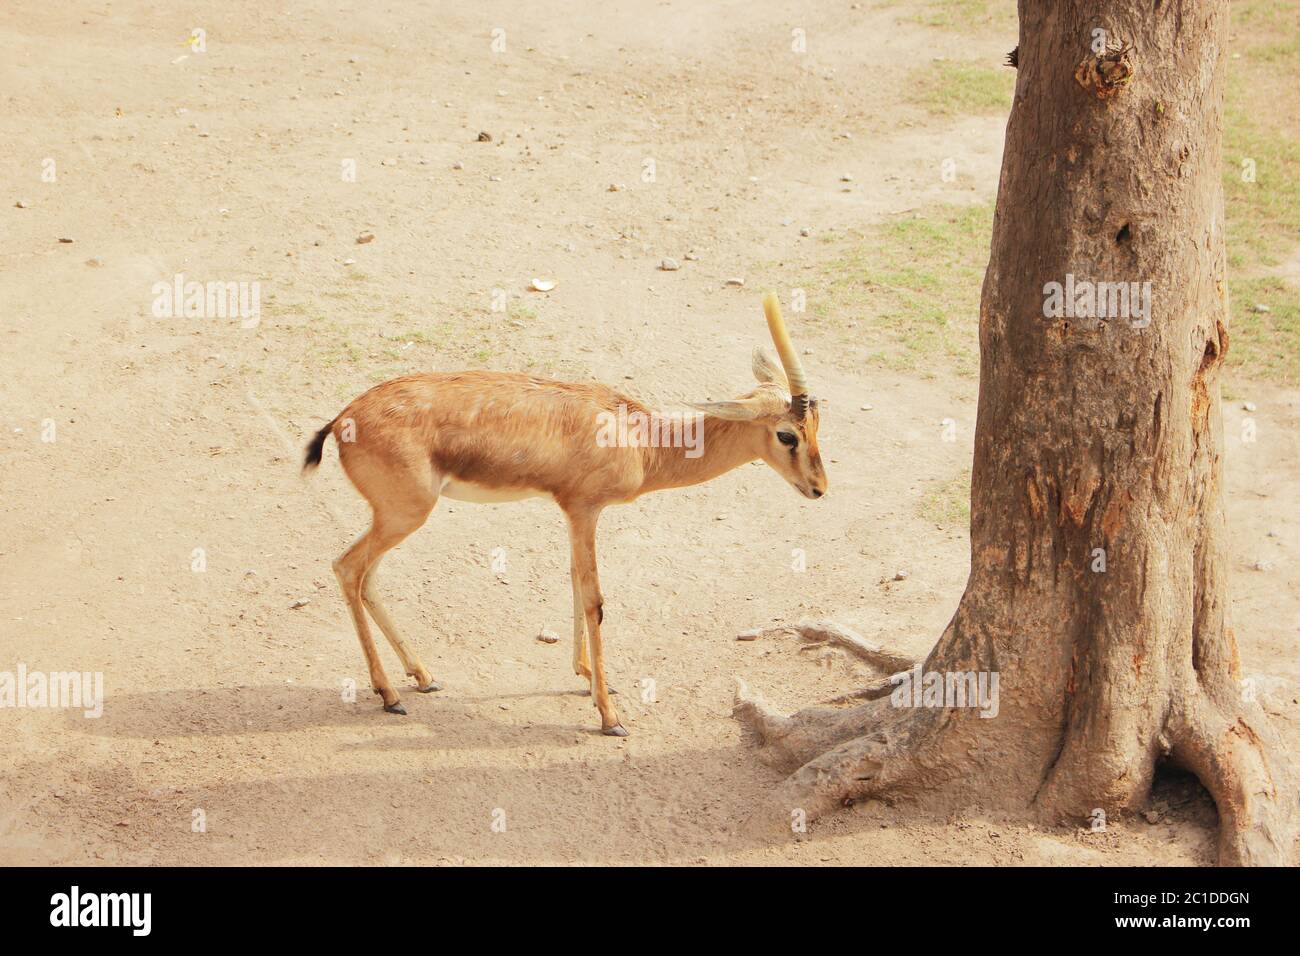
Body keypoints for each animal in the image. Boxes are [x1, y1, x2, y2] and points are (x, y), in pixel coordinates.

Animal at [302, 293, 827, 736]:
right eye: (786, 434)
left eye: (818, 424)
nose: (819, 488)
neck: (643, 441)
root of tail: (342, 418)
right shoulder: (584, 510)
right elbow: (593, 598)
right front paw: (610, 717)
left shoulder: (572, 514)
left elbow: (573, 579)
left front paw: (591, 679)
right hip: (404, 515)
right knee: (347, 568)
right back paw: (389, 694)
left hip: (395, 518)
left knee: (366, 577)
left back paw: (422, 676)